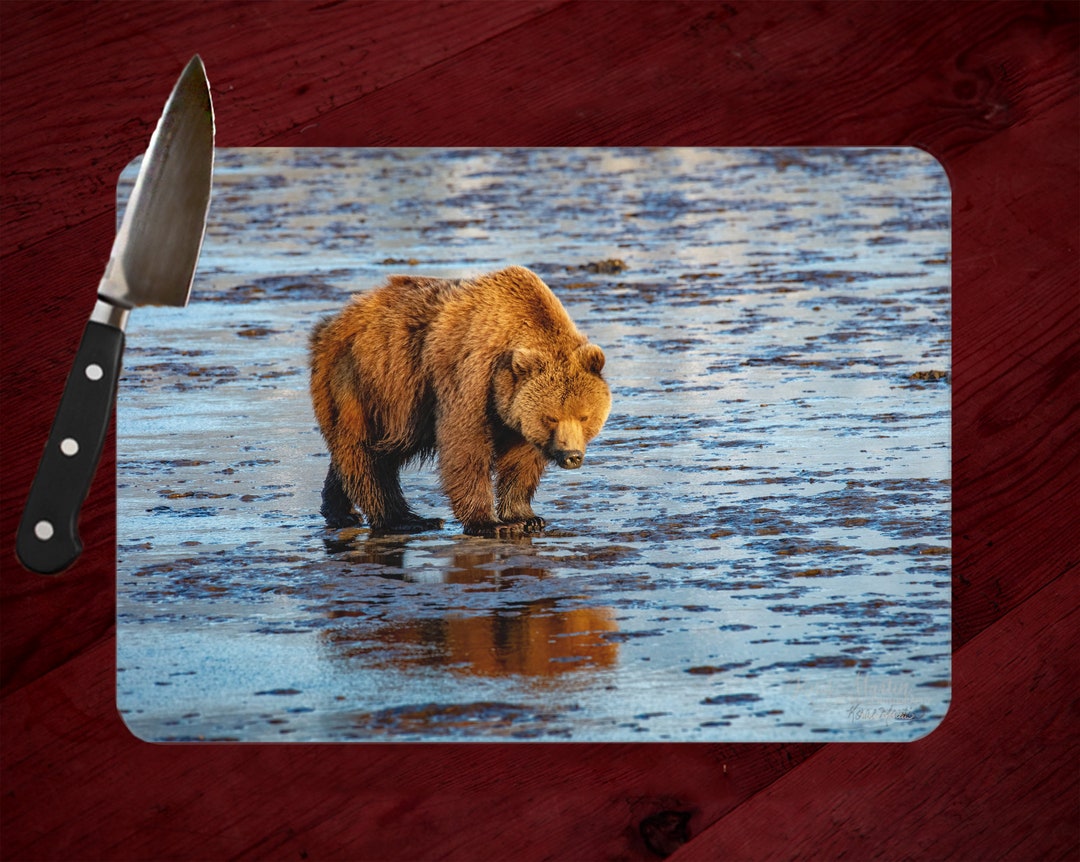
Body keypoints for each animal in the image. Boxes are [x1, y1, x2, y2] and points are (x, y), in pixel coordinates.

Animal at [309, 265, 611, 538]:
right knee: (366, 453)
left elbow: (521, 460)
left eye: (584, 416)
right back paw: (405, 519)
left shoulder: (514, 412)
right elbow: (465, 444)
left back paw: (341, 511)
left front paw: (526, 517)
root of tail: (332, 323)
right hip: (367, 381)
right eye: (551, 417)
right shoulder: (471, 376)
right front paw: (491, 523)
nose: (572, 455)